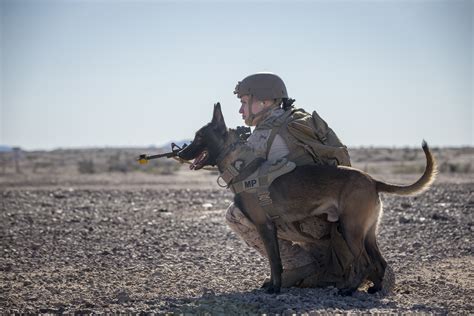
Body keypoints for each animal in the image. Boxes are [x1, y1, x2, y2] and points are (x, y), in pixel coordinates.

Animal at [178, 103, 436, 294]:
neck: (243, 167)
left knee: (363, 262)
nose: (179, 152)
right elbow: (274, 261)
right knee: (379, 262)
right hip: (367, 233)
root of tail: (372, 180)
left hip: (349, 229)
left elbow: (275, 262)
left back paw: (349, 289)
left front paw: (275, 289)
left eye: (199, 138)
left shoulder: (264, 226)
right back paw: (375, 289)